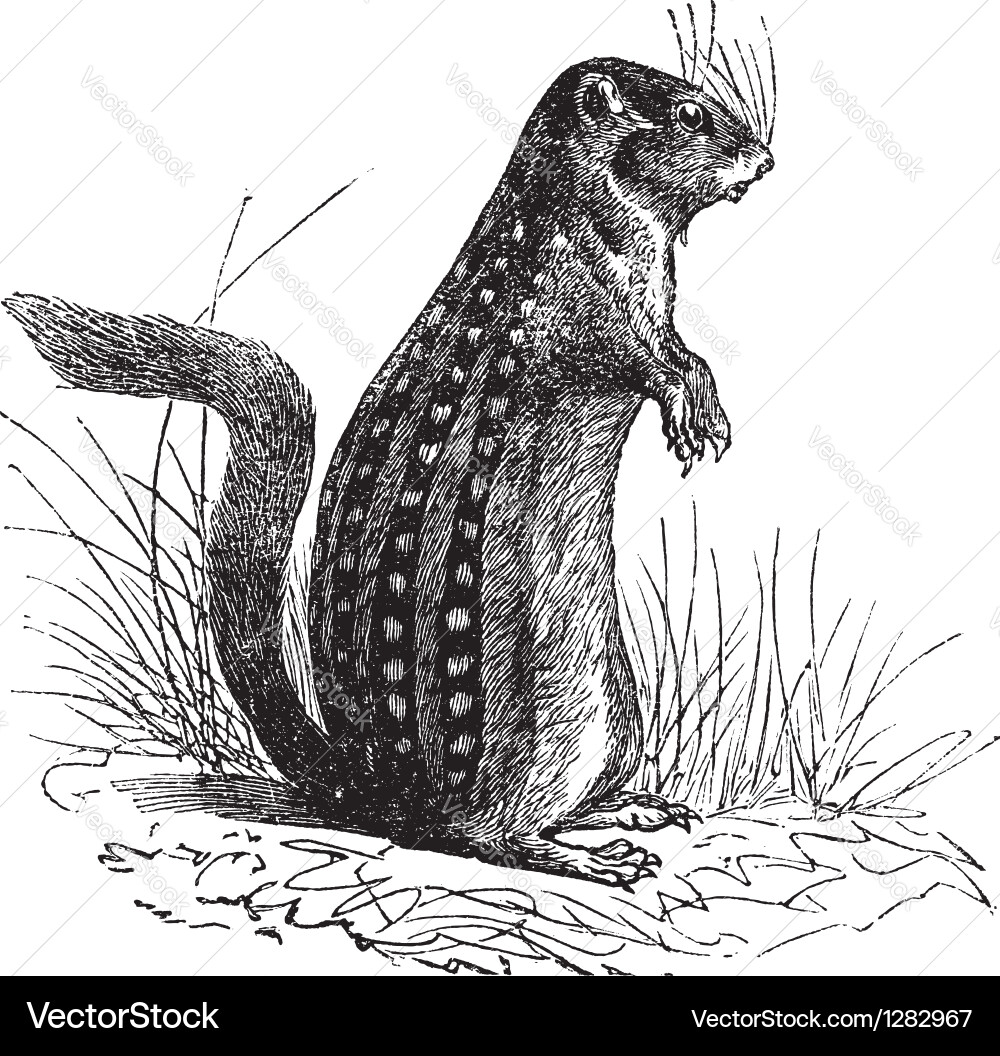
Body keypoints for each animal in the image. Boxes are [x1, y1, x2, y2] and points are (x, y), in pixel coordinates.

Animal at [5, 53, 774, 886]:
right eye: (692, 113)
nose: (766, 160)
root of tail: (378, 790)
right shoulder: (582, 310)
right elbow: (644, 358)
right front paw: (691, 409)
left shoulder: (648, 308)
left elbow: (678, 349)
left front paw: (706, 405)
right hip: (560, 730)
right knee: (491, 835)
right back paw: (589, 858)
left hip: (619, 715)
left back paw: (635, 808)